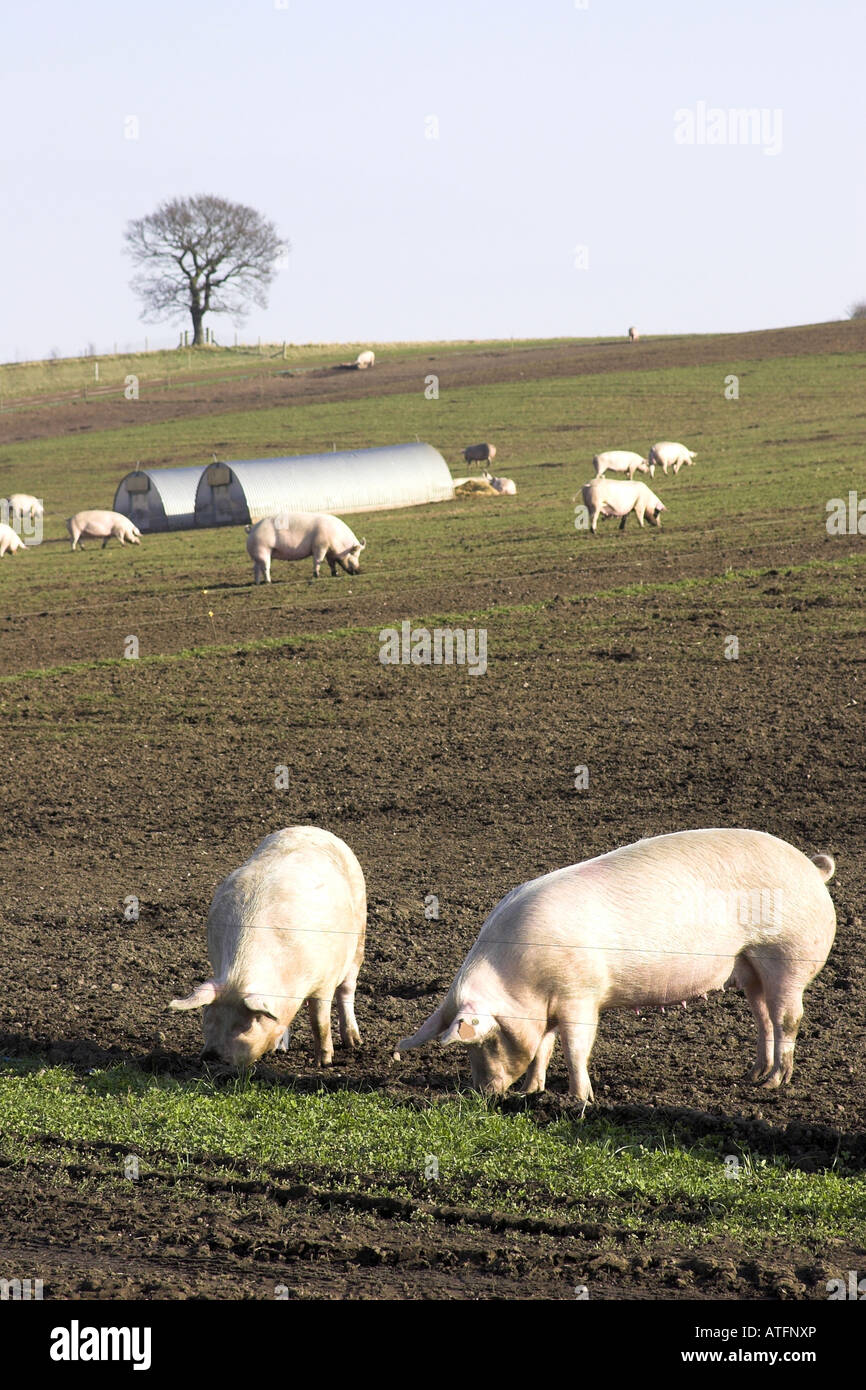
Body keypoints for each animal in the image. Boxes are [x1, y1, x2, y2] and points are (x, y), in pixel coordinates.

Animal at [169, 826, 367, 1069]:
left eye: (244, 1026)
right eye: (207, 1017)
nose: (211, 1056)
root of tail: (309, 828)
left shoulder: (324, 981)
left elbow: (319, 1021)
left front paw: (324, 1063)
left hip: (359, 935)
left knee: (347, 989)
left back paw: (354, 1042)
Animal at [396, 829, 837, 1102]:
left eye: (484, 1040)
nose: (482, 1093)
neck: (519, 983)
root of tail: (814, 871)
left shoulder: (579, 996)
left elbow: (575, 1047)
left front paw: (579, 1100)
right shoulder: (548, 1005)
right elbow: (543, 1047)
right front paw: (531, 1092)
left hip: (788, 956)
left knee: (788, 1019)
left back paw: (775, 1084)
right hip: (748, 967)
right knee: (763, 1017)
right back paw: (753, 1076)